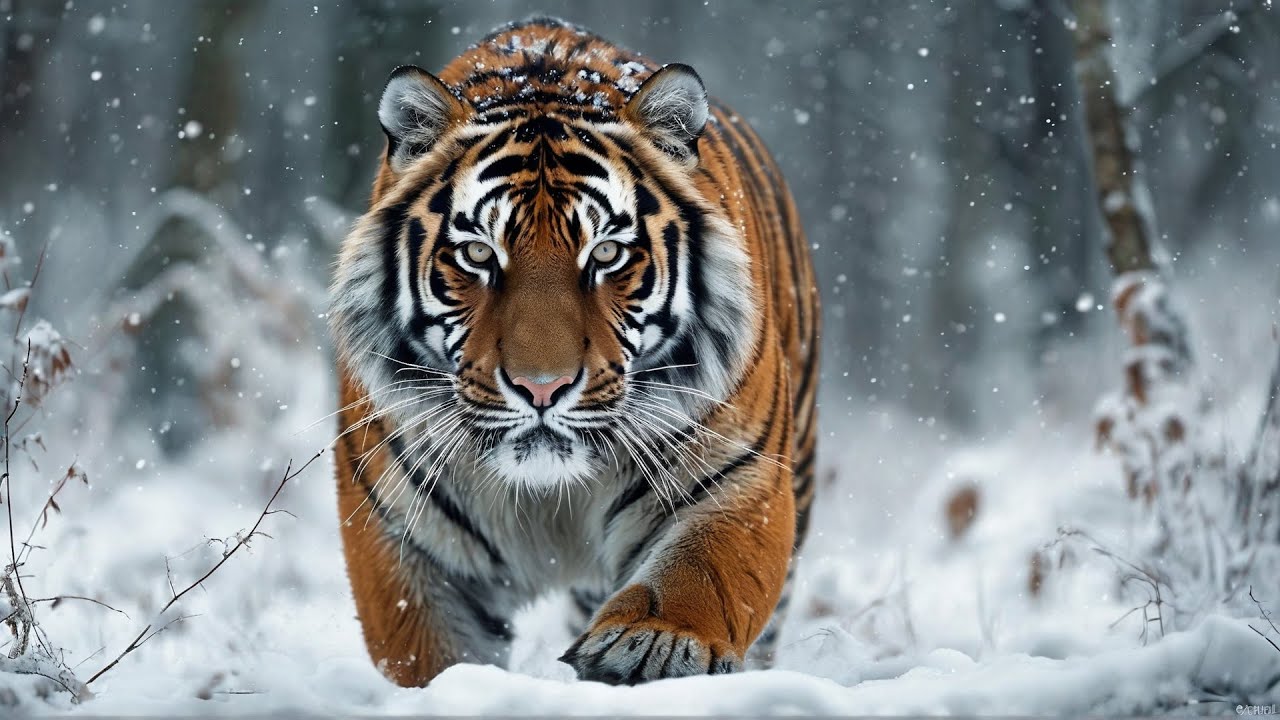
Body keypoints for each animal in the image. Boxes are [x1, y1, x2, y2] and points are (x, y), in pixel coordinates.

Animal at [329, 17, 818, 687]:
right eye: (478, 253)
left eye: (606, 253)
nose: (542, 388)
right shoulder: (401, 529)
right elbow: (426, 653)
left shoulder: (739, 475)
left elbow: (698, 577)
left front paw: (650, 644)